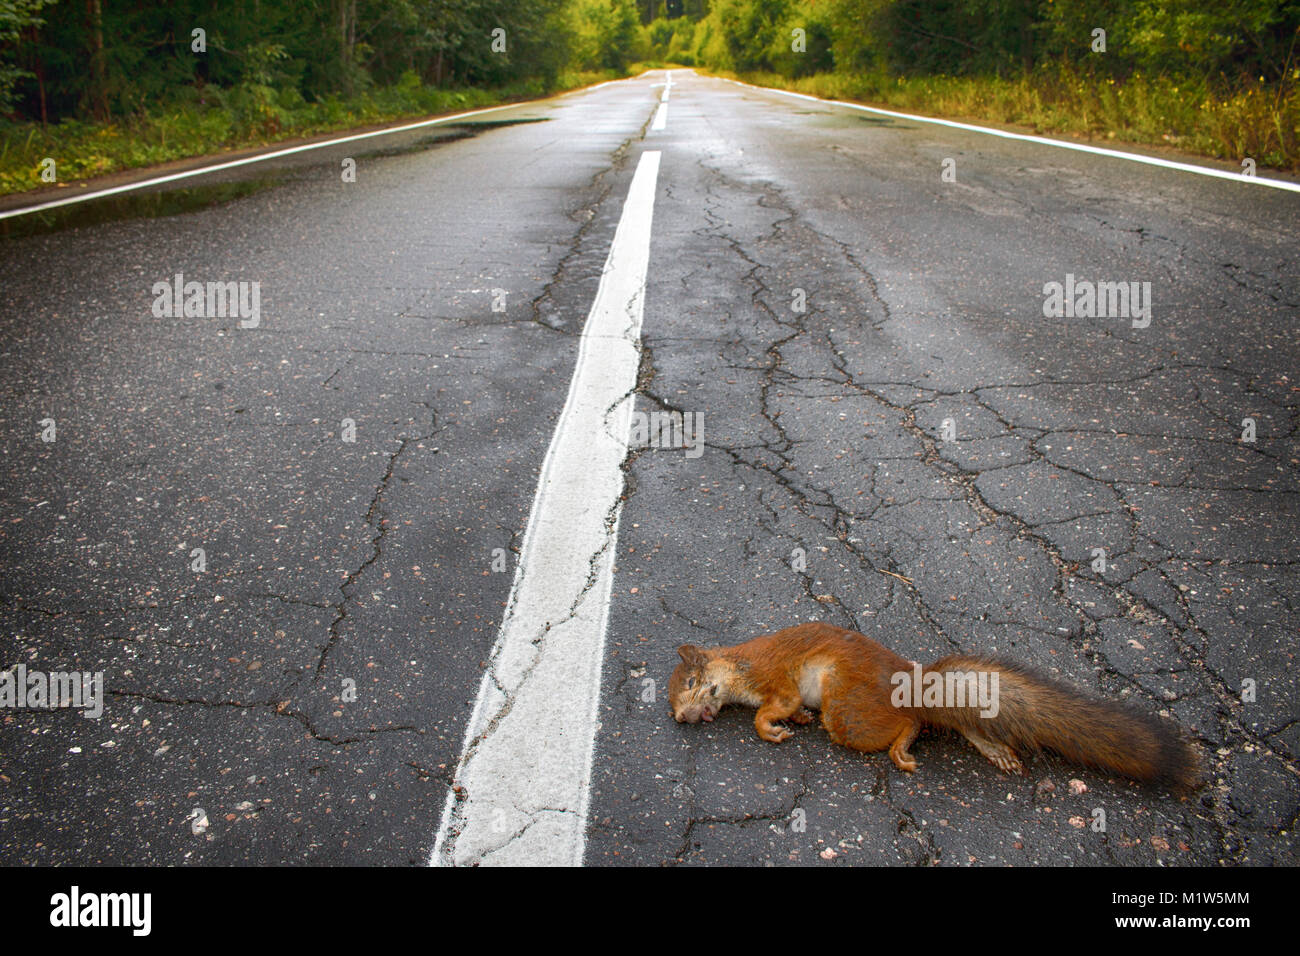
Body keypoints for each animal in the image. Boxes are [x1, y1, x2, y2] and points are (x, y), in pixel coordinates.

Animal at [669, 621, 1201, 790]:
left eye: (691, 682)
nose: (679, 717)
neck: (740, 665)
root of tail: (912, 684)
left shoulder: (773, 677)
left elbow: (770, 709)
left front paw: (773, 728)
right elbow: (792, 709)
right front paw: (796, 720)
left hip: (847, 713)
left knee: (910, 724)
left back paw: (902, 748)